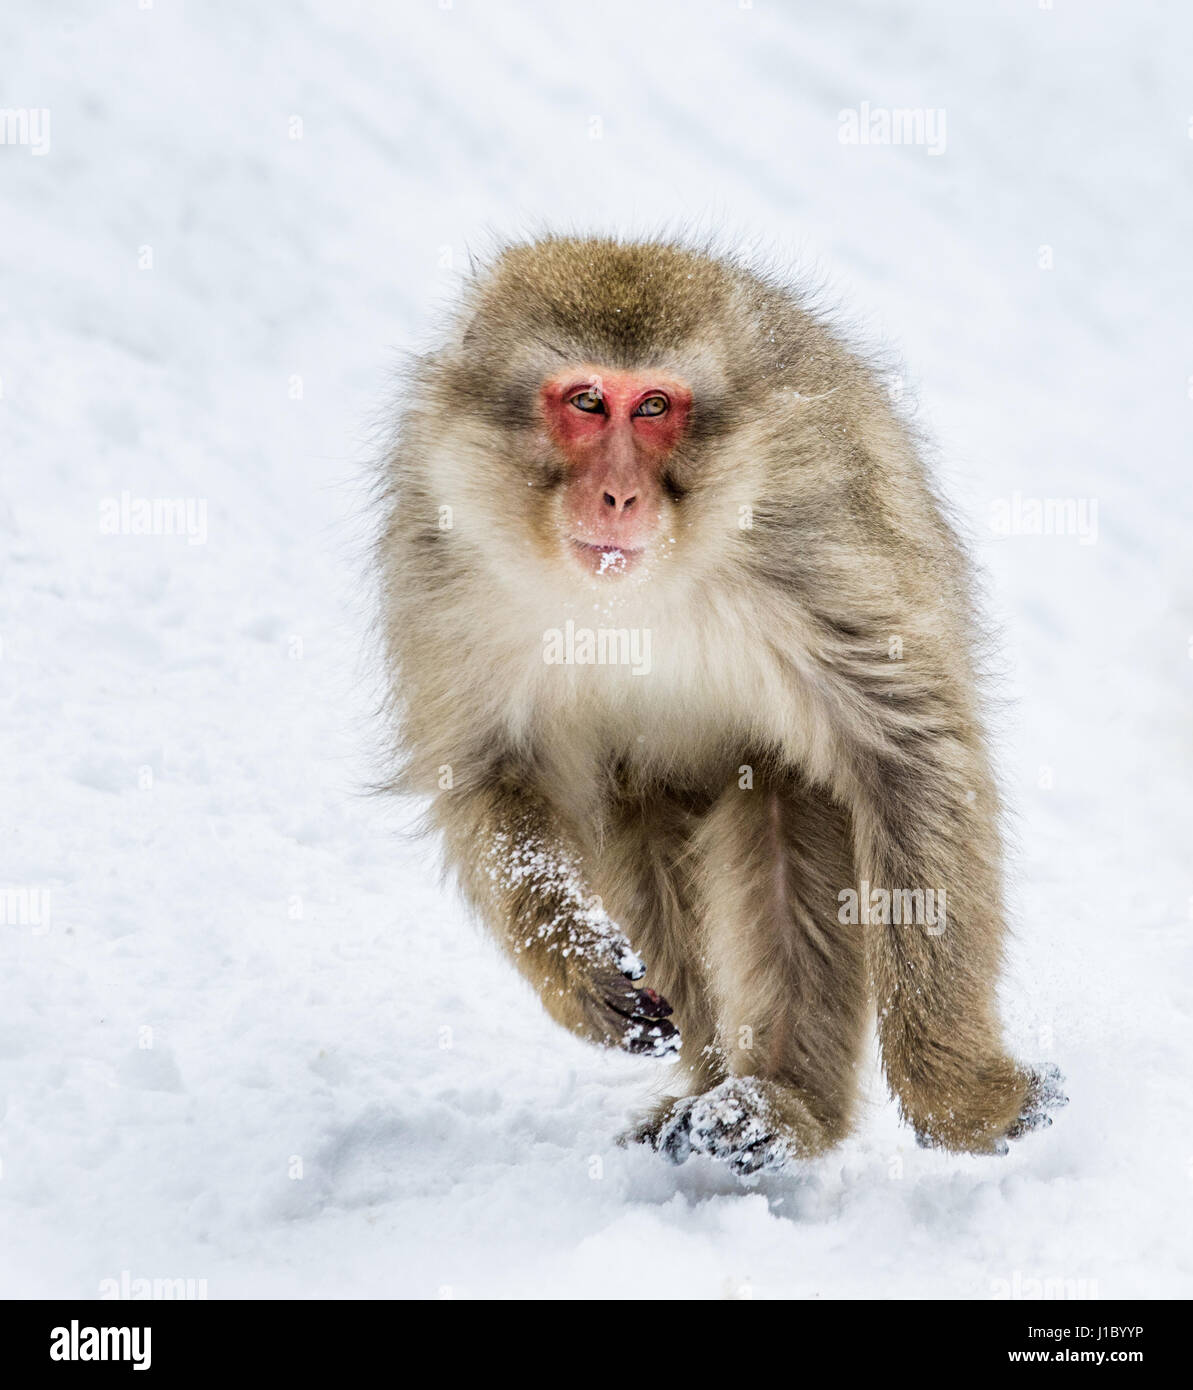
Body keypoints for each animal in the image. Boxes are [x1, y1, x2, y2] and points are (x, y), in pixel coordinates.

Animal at [375, 236, 1066, 1174]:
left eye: (654, 406)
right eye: (586, 402)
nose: (619, 495)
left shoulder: (813, 536)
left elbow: (905, 752)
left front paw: (960, 1097)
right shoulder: (442, 561)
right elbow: (491, 774)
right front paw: (577, 969)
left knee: (783, 816)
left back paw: (779, 1106)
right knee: (627, 826)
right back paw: (710, 1083)